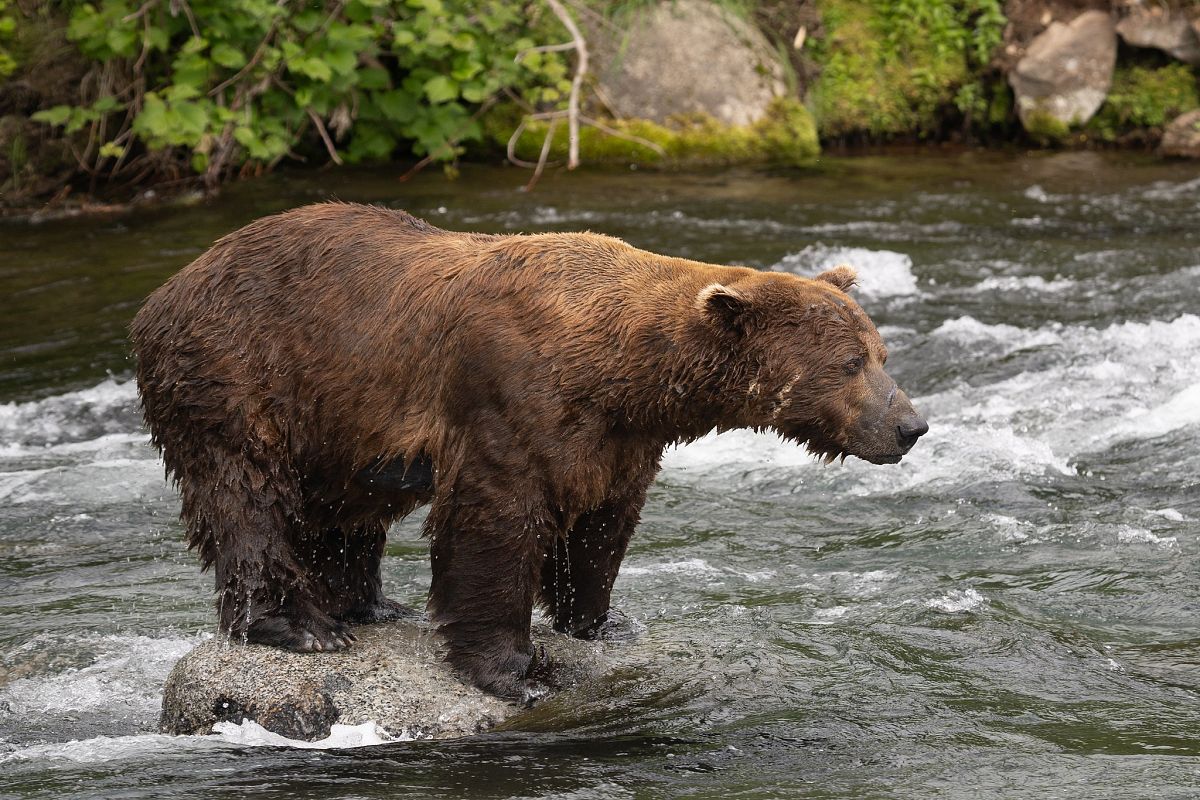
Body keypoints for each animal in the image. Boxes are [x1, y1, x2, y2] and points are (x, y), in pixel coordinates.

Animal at [131, 202, 927, 700]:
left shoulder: (619, 439)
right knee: (247, 495)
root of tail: (163, 290)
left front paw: (602, 620)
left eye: (881, 352)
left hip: (337, 422)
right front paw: (515, 668)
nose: (910, 426)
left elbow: (604, 525)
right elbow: (496, 522)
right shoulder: (510, 397)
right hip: (239, 373)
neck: (626, 371)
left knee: (344, 510)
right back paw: (301, 626)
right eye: (850, 363)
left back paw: (368, 605)